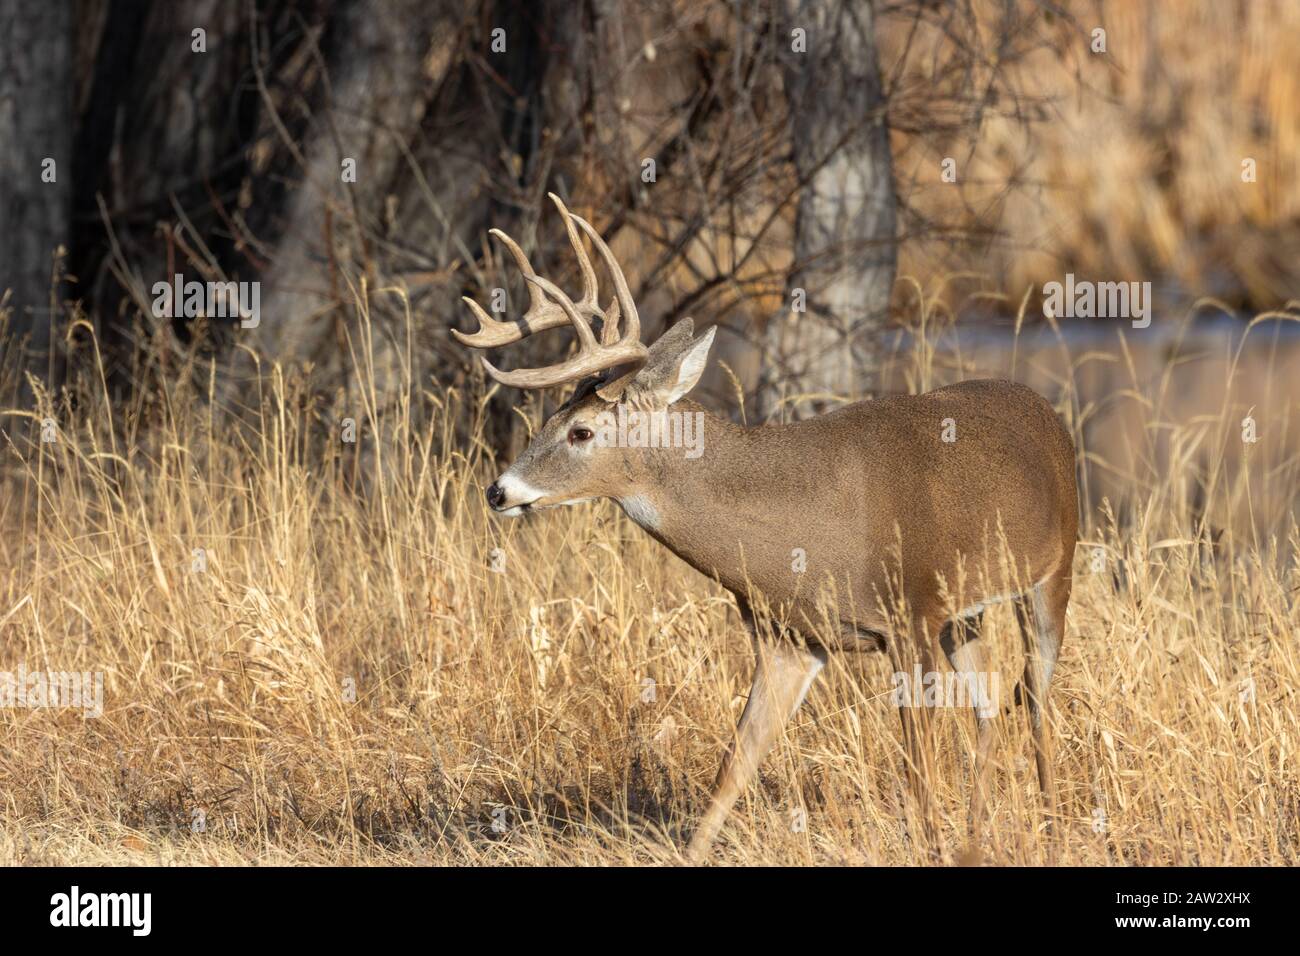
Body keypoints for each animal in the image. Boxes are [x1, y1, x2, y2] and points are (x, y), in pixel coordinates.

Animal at [455, 194, 1079, 862]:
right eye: (552, 415)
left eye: (581, 431)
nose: (499, 491)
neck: (801, 529)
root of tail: (1045, 408)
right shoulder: (789, 638)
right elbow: (735, 764)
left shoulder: (908, 616)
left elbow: (918, 770)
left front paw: (932, 847)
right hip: (967, 613)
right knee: (993, 706)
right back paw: (980, 835)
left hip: (1055, 570)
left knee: (1035, 699)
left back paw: (1051, 829)